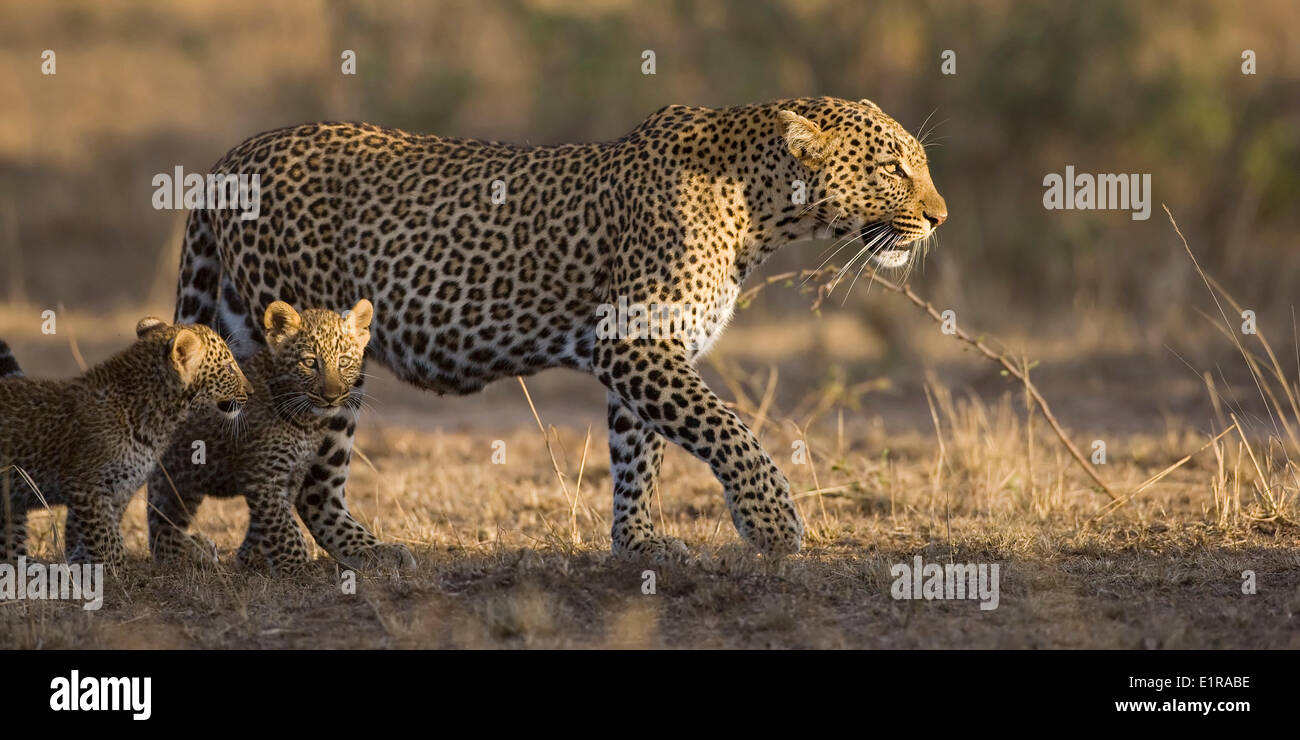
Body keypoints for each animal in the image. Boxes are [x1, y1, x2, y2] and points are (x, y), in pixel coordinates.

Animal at [0, 320, 249, 567]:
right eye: (229, 367)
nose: (251, 391)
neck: (160, 416)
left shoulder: (118, 490)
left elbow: (94, 535)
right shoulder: (85, 484)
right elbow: (107, 540)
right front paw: (114, 571)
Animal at [146, 299, 393, 574]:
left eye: (344, 361)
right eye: (310, 363)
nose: (331, 396)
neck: (305, 422)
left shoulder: (292, 474)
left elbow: (267, 521)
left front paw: (253, 556)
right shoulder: (264, 476)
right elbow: (284, 527)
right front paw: (296, 567)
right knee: (161, 511)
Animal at [172, 95, 947, 562]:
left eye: (921, 162)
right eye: (892, 168)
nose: (939, 217)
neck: (759, 211)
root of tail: (229, 160)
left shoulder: (645, 352)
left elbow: (639, 454)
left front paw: (639, 544)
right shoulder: (635, 340)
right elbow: (727, 430)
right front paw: (773, 524)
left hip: (242, 330)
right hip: (322, 353)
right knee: (306, 476)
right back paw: (366, 554)